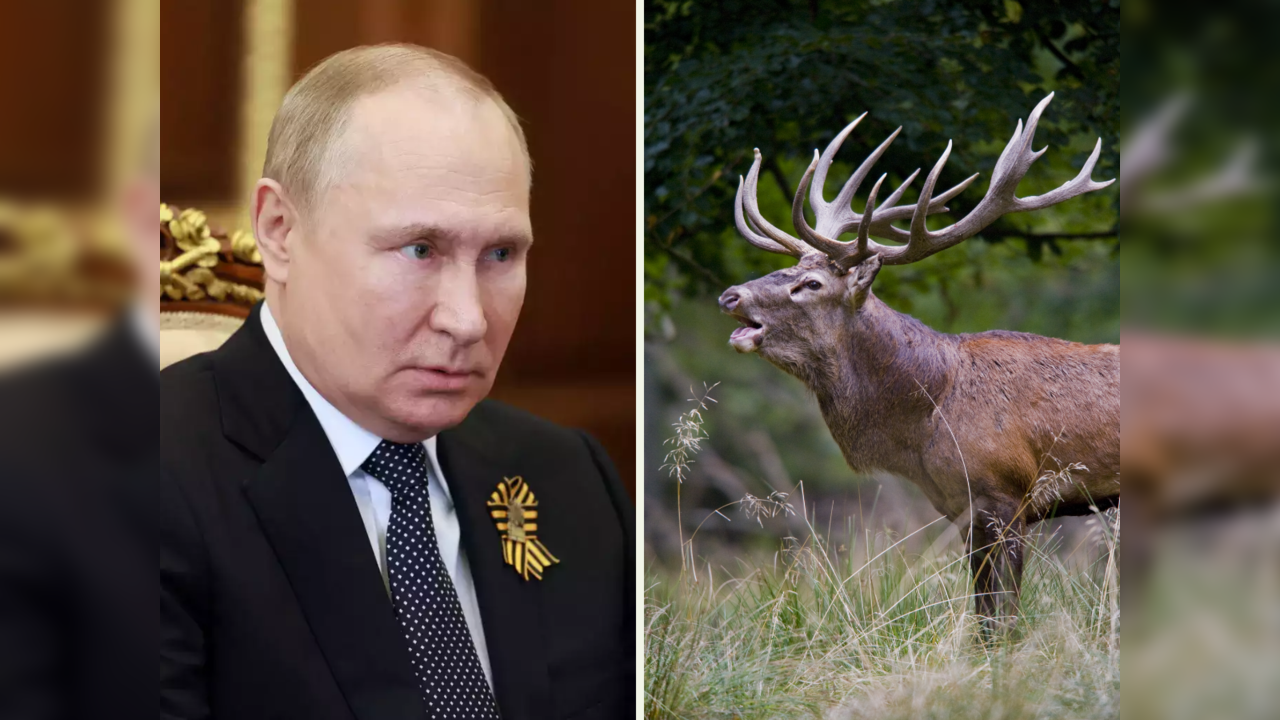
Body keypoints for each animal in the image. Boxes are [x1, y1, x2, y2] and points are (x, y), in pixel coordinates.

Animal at [717, 94, 1119, 635]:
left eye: (812, 284)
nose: (730, 294)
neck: (927, 413)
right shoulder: (963, 511)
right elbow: (982, 613)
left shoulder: (1009, 494)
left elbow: (1005, 617)